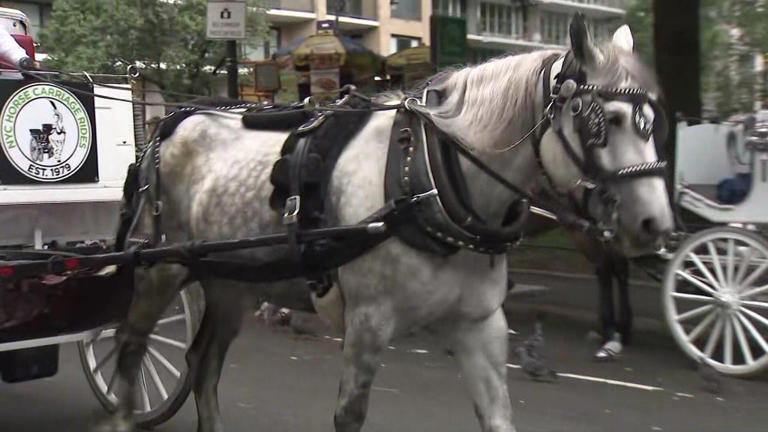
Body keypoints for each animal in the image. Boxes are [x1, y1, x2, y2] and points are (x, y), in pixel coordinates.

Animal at [101, 15, 672, 432]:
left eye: (651, 123)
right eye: (603, 121)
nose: (655, 224)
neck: (433, 182)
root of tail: (168, 124)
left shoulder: (480, 325)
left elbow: (498, 416)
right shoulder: (367, 325)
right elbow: (348, 416)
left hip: (230, 284)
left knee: (203, 365)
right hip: (158, 270)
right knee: (129, 353)